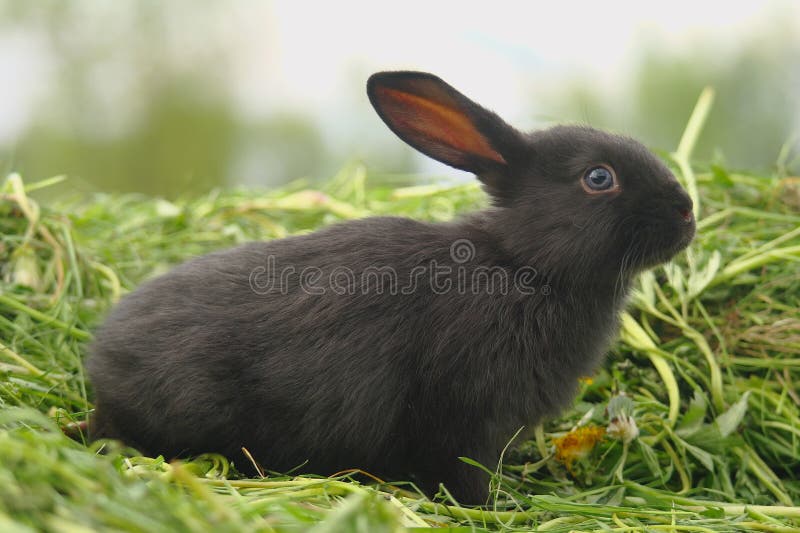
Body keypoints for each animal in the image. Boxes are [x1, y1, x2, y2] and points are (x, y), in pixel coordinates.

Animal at [87, 71, 695, 504]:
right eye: (598, 177)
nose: (686, 212)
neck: (523, 263)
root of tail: (104, 363)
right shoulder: (467, 416)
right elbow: (462, 473)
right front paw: (495, 507)